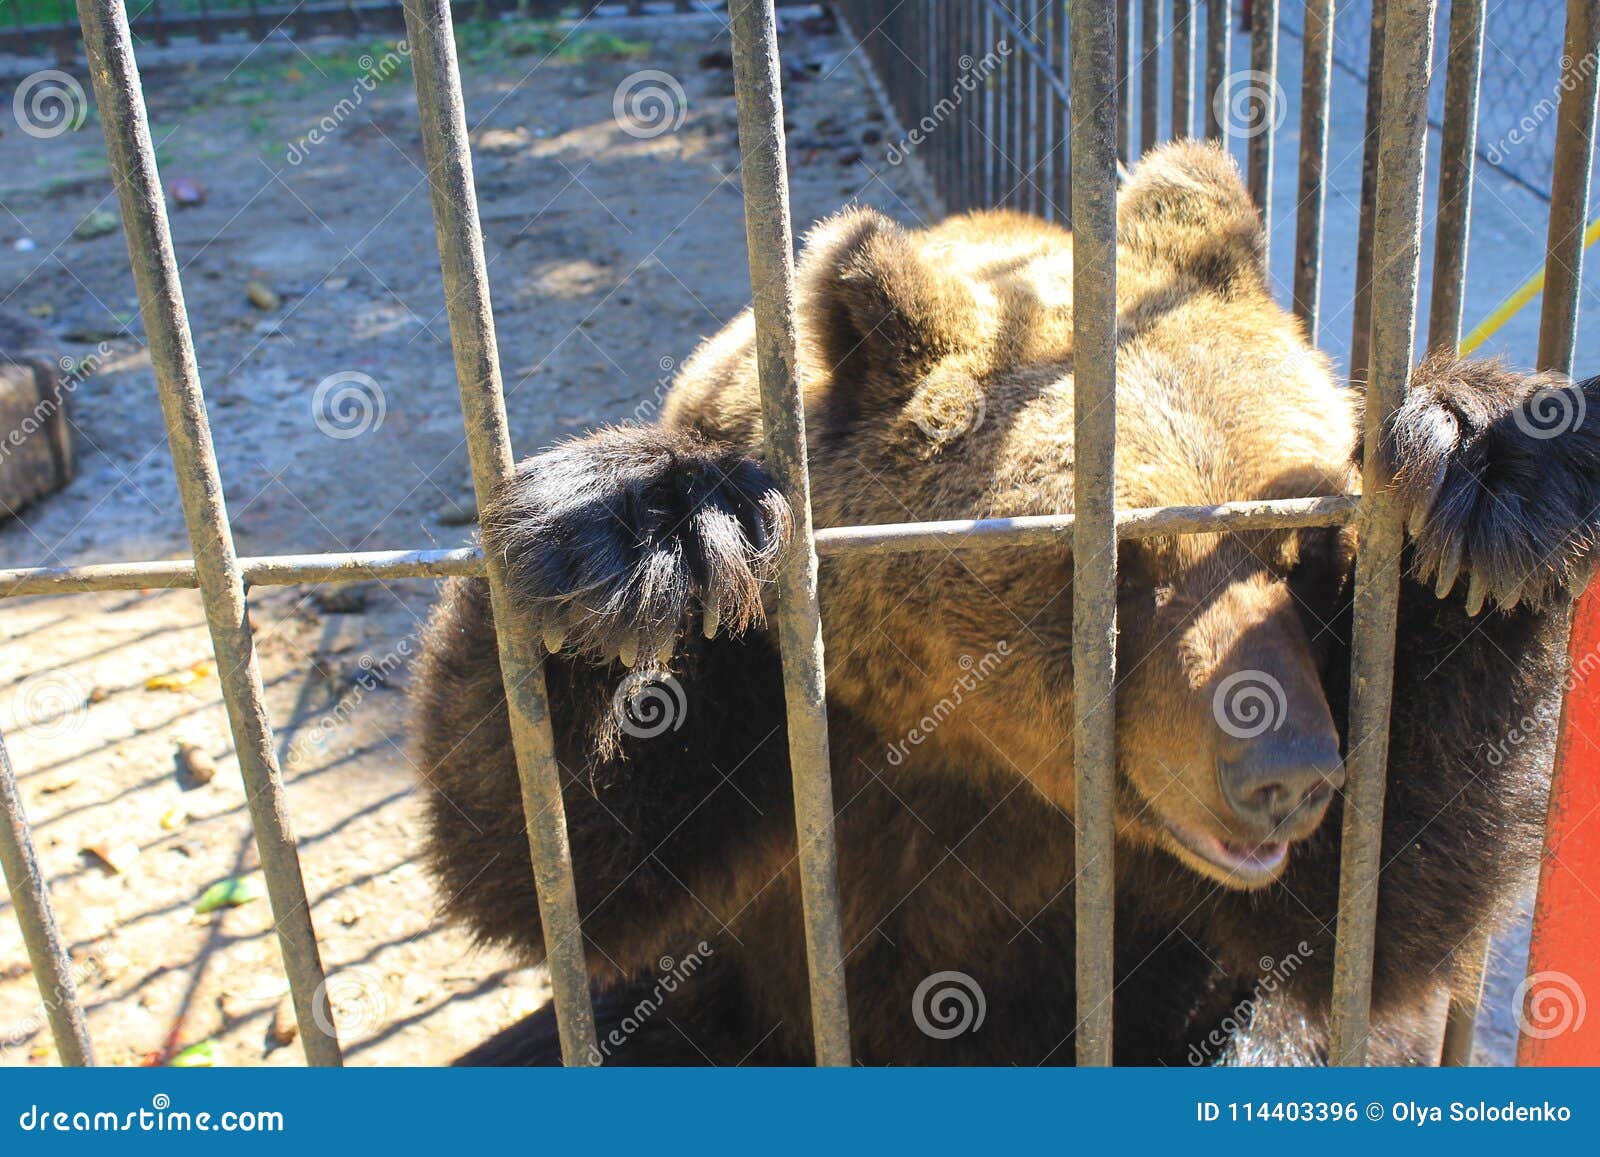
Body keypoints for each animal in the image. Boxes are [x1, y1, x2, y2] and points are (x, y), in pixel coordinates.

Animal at [409, 140, 1596, 1065]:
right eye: (1121, 561)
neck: (970, 748)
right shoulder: (773, 718)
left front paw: (1495, 463)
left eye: (1295, 547)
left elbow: (1368, 914)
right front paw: (640, 522)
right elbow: (555, 867)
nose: (1288, 773)